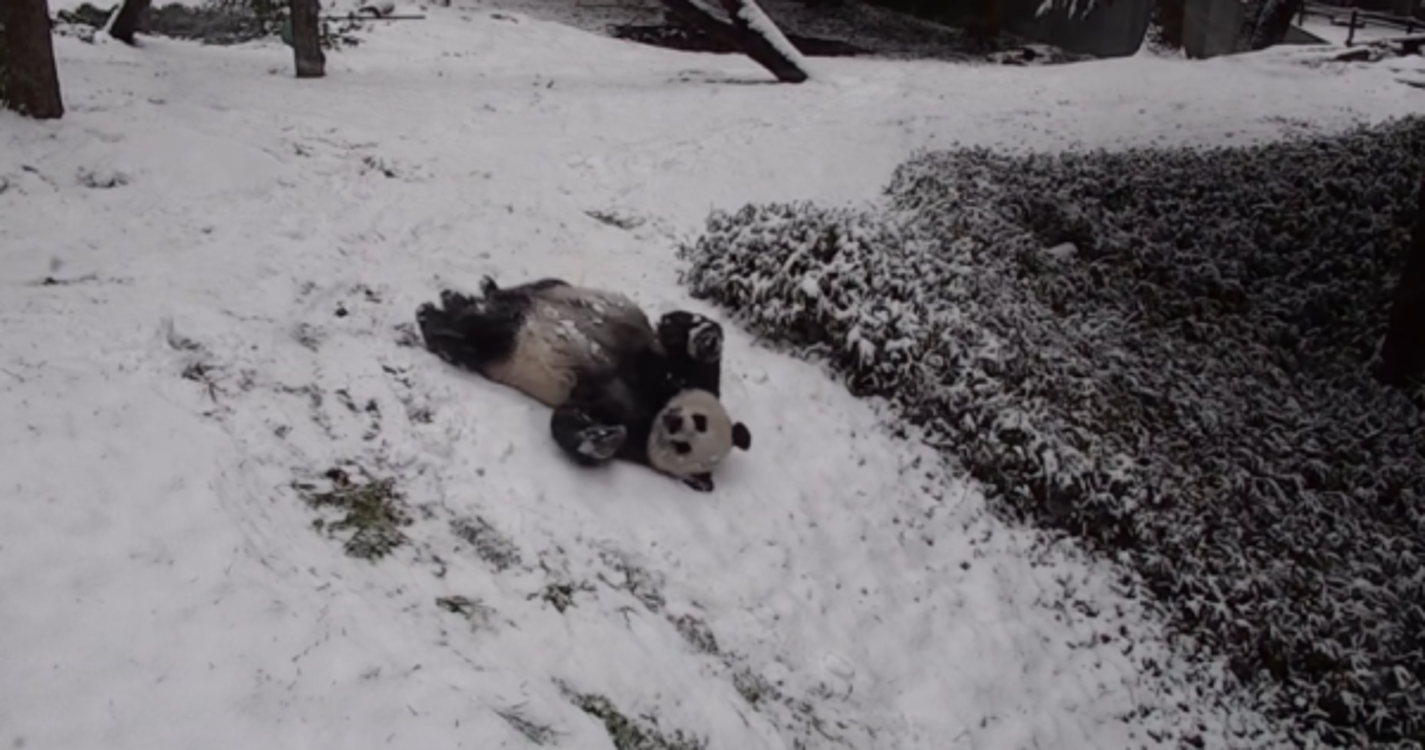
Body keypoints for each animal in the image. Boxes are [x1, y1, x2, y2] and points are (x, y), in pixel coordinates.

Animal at [414, 276, 752, 492]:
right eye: (700, 421)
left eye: (684, 447)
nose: (674, 423)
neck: (654, 407)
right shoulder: (673, 372)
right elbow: (685, 355)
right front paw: (702, 335)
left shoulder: (628, 431)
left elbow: (573, 419)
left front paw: (601, 440)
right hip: (551, 292)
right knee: (529, 290)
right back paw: (467, 296)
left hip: (503, 346)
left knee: (483, 333)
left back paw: (440, 324)